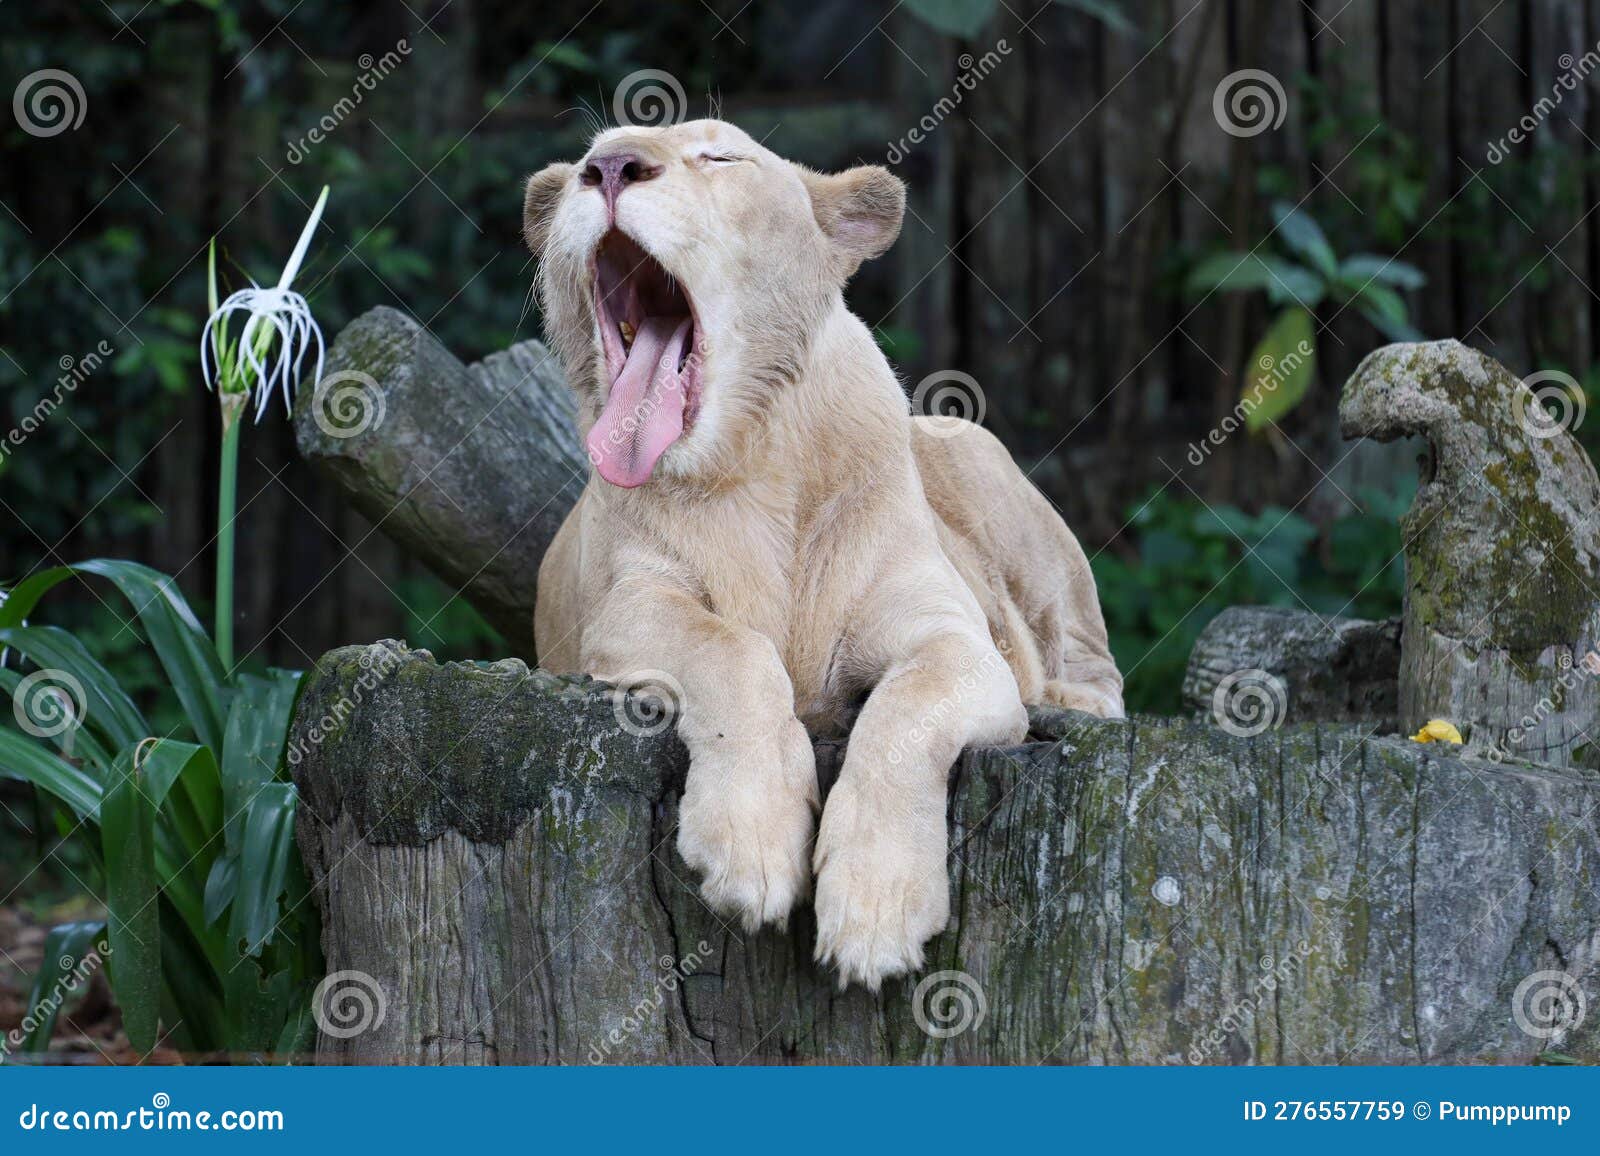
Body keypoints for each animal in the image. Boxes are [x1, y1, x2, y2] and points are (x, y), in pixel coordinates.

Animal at [523, 119, 1123, 990]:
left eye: (719, 157)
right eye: (580, 166)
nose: (608, 168)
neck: (751, 462)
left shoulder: (955, 639)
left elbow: (905, 712)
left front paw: (875, 912)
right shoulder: (627, 605)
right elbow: (732, 651)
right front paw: (751, 846)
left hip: (987, 466)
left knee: (1089, 658)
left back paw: (1071, 706)